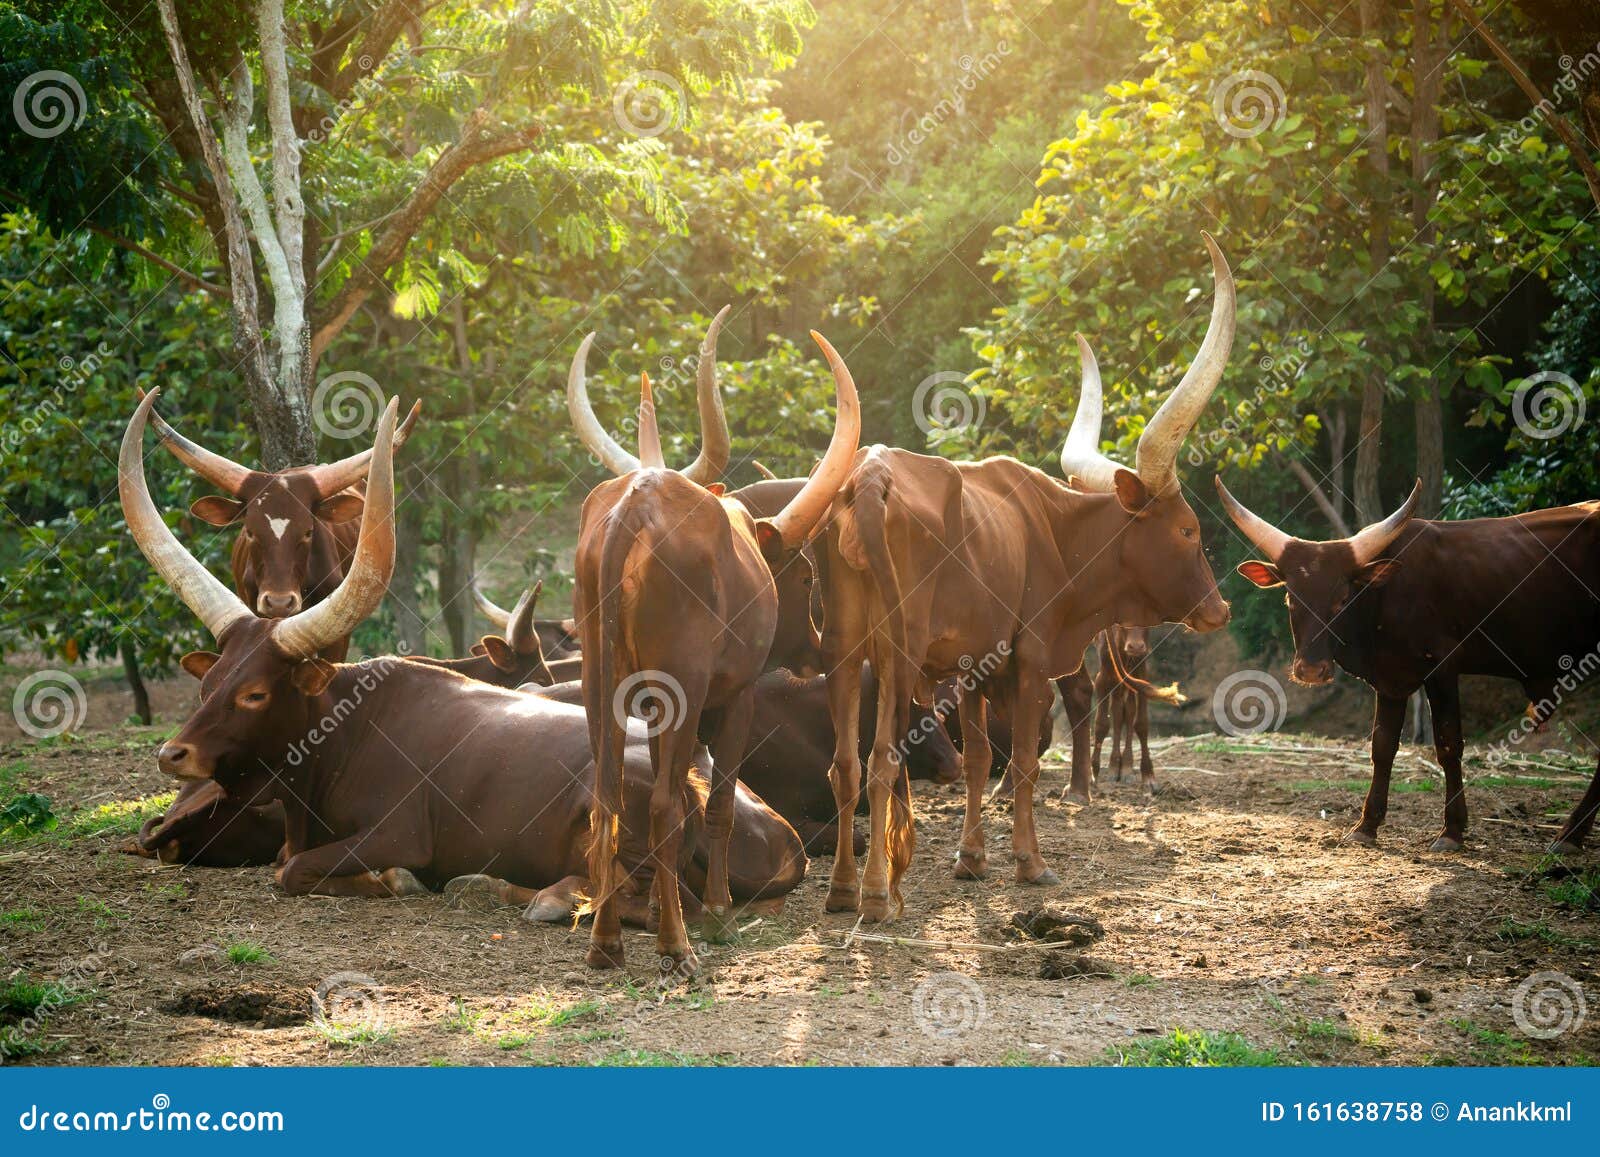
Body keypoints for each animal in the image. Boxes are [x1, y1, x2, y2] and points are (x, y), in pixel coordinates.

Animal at [570, 319, 859, 972]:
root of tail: (635, 506)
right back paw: (676, 946)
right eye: (806, 577)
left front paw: (659, 910)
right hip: (686, 690)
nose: (815, 653)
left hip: (603, 686)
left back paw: (606, 942)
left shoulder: (654, 706)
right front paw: (721, 911)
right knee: (664, 808)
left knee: (611, 799)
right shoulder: (735, 699)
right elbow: (719, 803)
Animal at [815, 236, 1235, 922]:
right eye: (1187, 530)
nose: (1219, 610)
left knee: (846, 764)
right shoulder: (1033, 657)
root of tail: (869, 478)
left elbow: (982, 758)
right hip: (897, 651)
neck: (1053, 531)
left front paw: (971, 859)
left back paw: (843, 889)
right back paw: (877, 894)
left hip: (845, 649)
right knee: (881, 760)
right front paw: (1030, 863)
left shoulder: (974, 666)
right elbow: (1028, 763)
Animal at [1216, 477, 1600, 855]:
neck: (1384, 596)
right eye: (1291, 599)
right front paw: (1367, 825)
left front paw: (1452, 831)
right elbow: (1382, 746)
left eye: (1342, 599)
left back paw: (1569, 835)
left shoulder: (1442, 669)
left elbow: (1448, 745)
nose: (1311, 670)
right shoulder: (1391, 679)